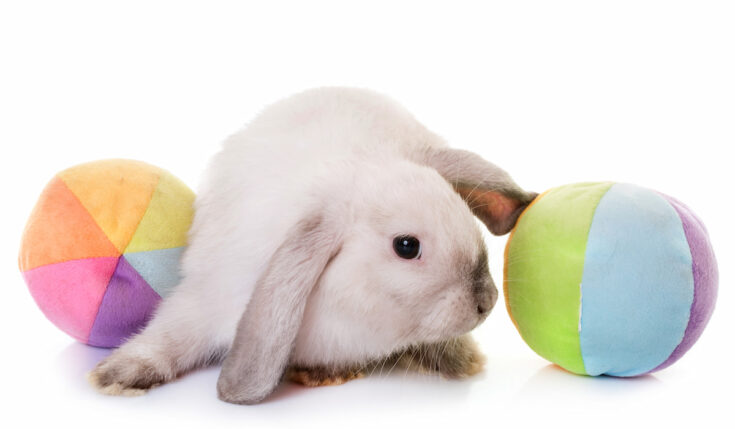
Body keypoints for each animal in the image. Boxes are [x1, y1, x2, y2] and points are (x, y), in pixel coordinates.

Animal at [87, 87, 536, 404]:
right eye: (407, 246)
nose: (486, 301)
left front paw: (462, 359)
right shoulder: (207, 298)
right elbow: (171, 337)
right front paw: (116, 376)